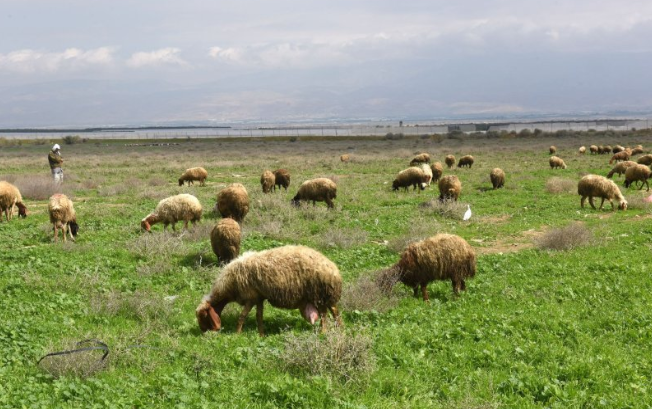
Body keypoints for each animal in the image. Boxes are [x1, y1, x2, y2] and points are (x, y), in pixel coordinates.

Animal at [196, 245, 343, 335]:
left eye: (203, 316)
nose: (202, 332)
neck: (228, 286)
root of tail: (334, 270)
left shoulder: (250, 297)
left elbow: (242, 316)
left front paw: (237, 334)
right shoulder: (259, 297)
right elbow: (259, 316)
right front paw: (261, 334)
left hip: (319, 294)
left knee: (324, 315)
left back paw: (324, 332)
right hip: (324, 296)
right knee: (334, 311)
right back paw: (339, 329)